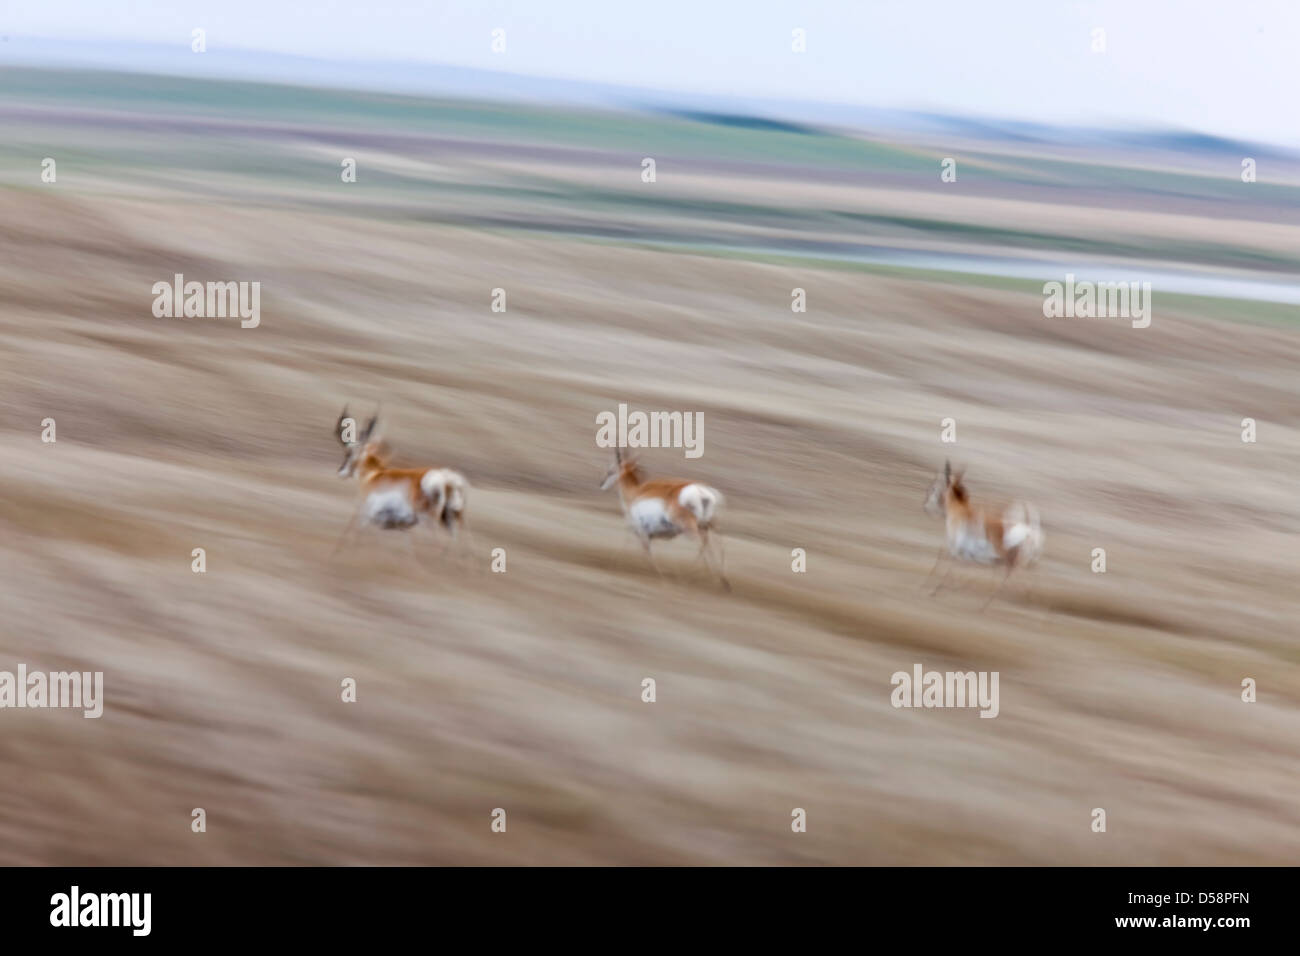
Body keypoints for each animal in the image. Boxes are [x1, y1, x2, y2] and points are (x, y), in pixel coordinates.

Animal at [333, 407, 470, 559]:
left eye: (348, 454)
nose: (340, 472)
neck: (374, 475)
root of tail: (447, 479)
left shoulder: (367, 517)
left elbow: (355, 534)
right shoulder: (400, 527)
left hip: (428, 521)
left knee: (438, 544)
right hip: (451, 520)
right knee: (460, 546)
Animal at [600, 447, 730, 590]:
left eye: (610, 470)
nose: (601, 484)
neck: (636, 492)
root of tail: (701, 492)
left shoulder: (640, 531)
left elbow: (643, 551)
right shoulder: (645, 533)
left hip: (690, 527)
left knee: (702, 545)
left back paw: (690, 577)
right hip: (709, 525)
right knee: (718, 544)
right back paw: (722, 581)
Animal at [923, 460, 1043, 608]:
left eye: (934, 487)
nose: (925, 506)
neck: (960, 509)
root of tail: (1029, 531)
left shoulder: (955, 550)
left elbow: (942, 562)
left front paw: (932, 589)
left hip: (1014, 565)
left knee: (1024, 584)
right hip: (1014, 564)